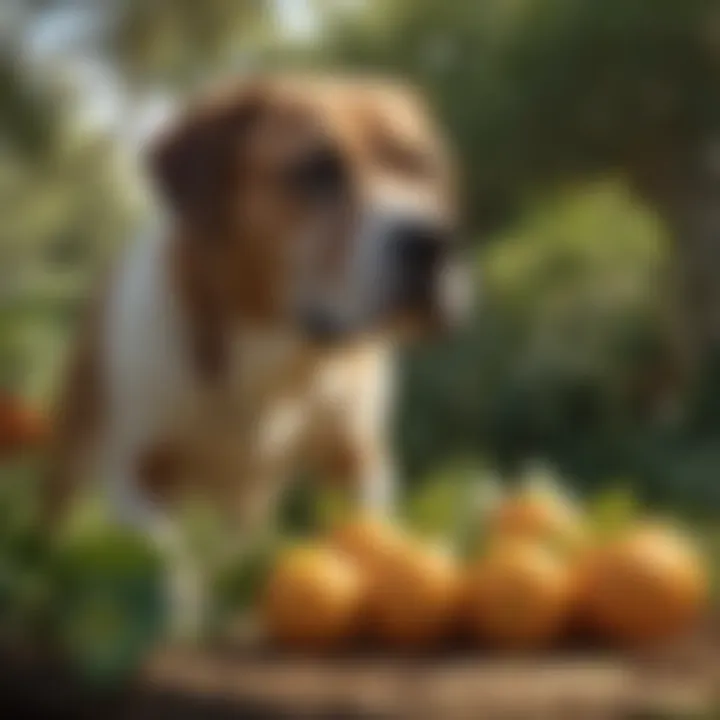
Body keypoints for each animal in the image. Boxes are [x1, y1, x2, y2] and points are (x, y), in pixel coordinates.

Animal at [49, 74, 466, 636]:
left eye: (421, 164)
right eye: (317, 170)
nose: (434, 242)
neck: (277, 360)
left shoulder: (356, 459)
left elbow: (366, 540)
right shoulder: (140, 474)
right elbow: (163, 573)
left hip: (248, 499)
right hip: (69, 460)